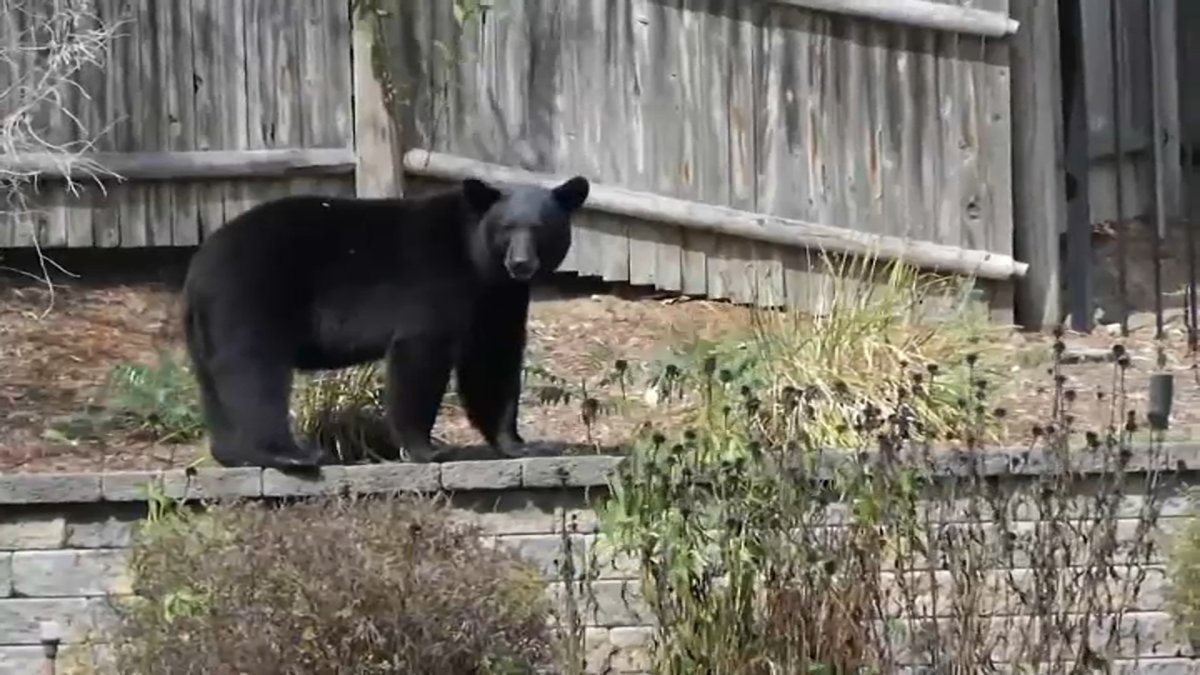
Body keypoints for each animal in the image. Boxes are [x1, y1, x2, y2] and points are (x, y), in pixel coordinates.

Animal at [181, 174, 591, 470]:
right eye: (507, 227)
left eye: (540, 227)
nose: (521, 263)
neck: (478, 261)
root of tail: (198, 269)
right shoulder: (435, 281)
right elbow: (421, 355)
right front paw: (428, 449)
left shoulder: (498, 299)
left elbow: (492, 359)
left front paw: (519, 443)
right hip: (251, 294)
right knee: (253, 371)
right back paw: (291, 454)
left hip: (207, 323)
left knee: (214, 381)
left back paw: (232, 454)